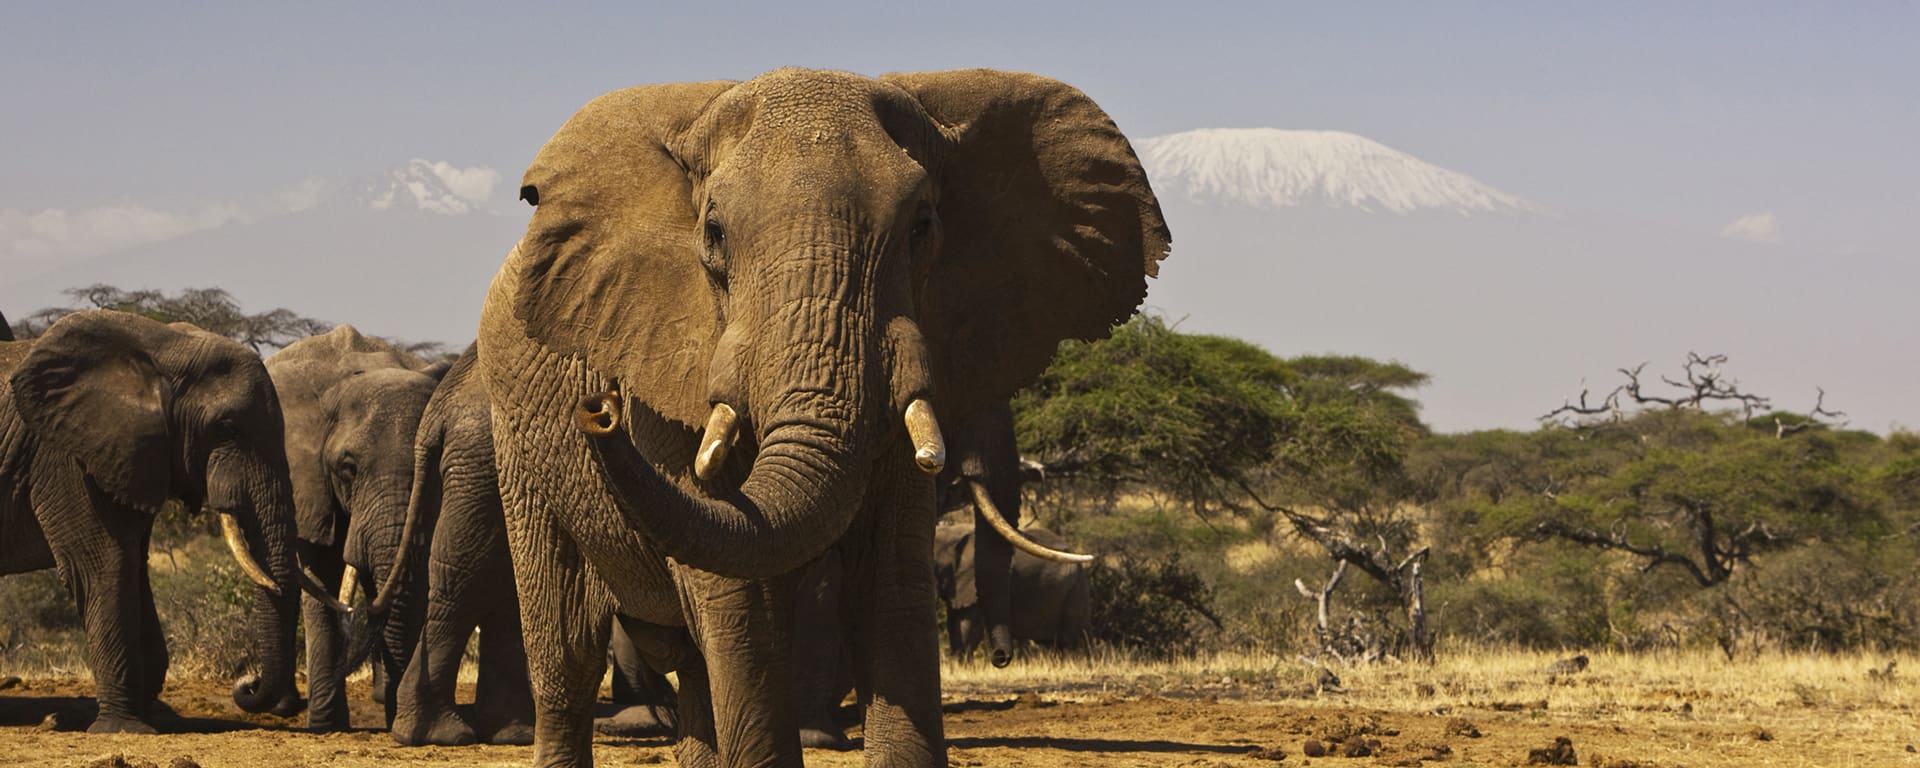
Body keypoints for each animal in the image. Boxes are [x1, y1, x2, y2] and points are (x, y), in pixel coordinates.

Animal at [0, 310, 329, 732]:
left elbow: (134, 568)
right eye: (227, 428)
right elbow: (103, 566)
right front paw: (124, 728)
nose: (247, 683)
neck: (161, 348)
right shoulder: (64, 457)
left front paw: (141, 711)